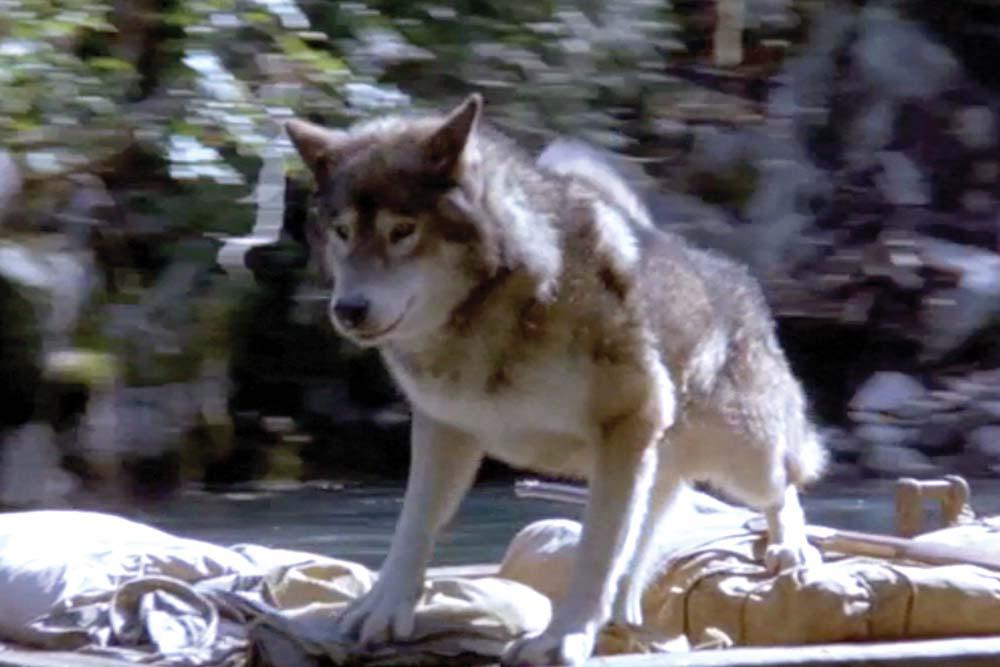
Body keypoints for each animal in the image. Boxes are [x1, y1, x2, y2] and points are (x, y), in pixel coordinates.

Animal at [285, 94, 827, 666]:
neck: (492, 312)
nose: (348, 310)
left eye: (402, 230)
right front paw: (382, 610)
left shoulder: (626, 427)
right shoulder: (443, 428)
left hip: (740, 459)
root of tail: (742, 280)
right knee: (654, 529)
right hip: (664, 462)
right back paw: (625, 615)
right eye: (343, 232)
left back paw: (791, 549)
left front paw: (562, 638)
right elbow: (413, 528)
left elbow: (596, 551)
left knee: (783, 486)